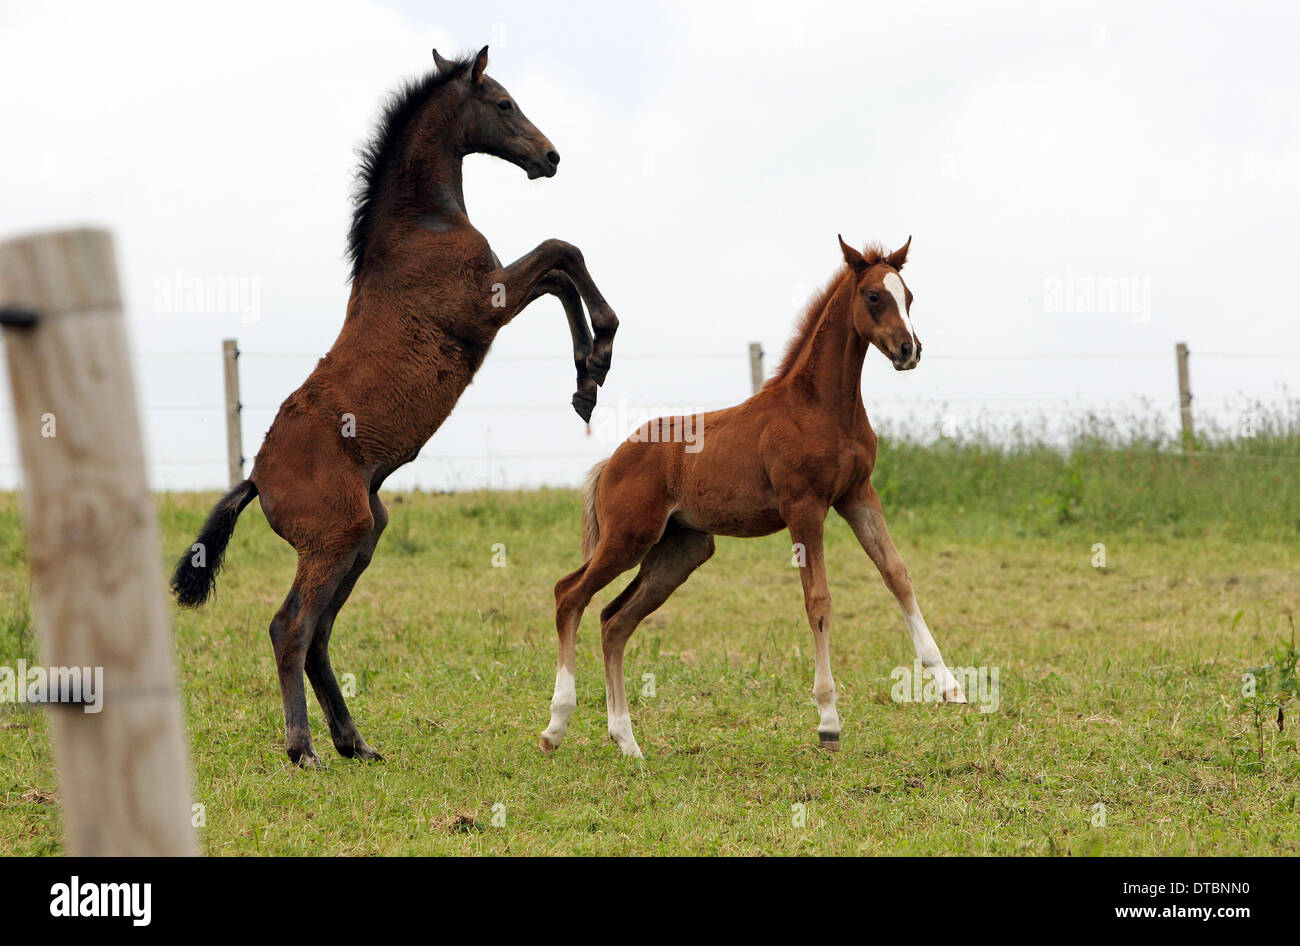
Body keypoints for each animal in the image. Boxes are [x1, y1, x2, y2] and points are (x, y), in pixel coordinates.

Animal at [170, 47, 619, 767]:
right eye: (503, 103)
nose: (549, 156)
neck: (419, 227)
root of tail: (256, 478)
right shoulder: (483, 303)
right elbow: (560, 254)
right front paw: (598, 355)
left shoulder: (497, 297)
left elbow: (557, 273)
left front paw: (586, 381)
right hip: (337, 537)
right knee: (289, 627)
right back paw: (303, 748)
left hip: (363, 538)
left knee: (319, 635)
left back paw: (355, 742)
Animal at [542, 235, 966, 759]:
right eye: (872, 296)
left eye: (909, 296)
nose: (909, 350)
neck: (821, 407)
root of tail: (611, 461)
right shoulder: (804, 507)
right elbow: (818, 600)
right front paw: (828, 722)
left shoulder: (857, 496)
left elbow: (898, 574)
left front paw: (949, 684)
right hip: (629, 537)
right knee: (569, 595)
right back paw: (555, 726)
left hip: (681, 551)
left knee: (613, 620)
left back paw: (627, 742)